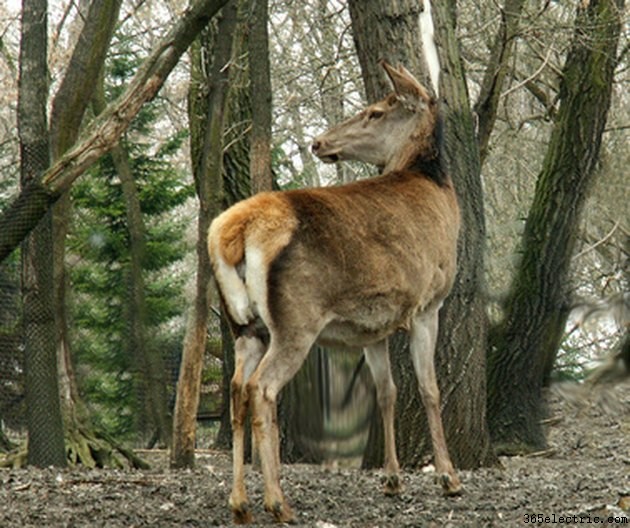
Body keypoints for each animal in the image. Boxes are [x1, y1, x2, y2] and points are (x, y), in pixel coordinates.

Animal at [210, 58, 462, 524]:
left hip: (244, 325)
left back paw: (240, 503)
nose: (319, 142)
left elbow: (386, 392)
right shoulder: (427, 303)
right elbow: (429, 389)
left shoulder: (372, 326)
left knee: (236, 390)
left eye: (375, 111)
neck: (439, 191)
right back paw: (278, 502)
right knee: (262, 389)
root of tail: (233, 232)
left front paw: (392, 480)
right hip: (295, 321)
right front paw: (448, 478)